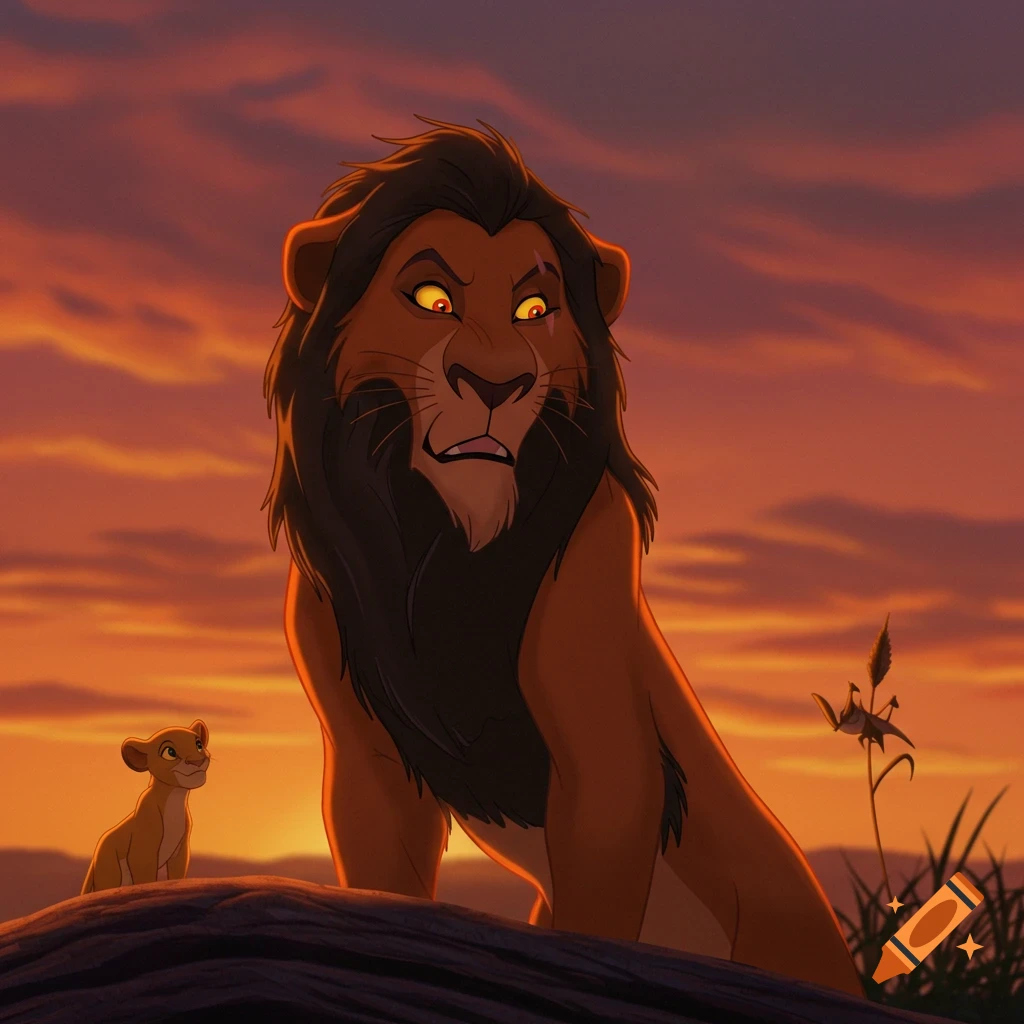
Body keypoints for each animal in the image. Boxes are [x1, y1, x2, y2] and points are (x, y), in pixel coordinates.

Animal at [81, 720, 210, 893]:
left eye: (198, 745)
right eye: (170, 752)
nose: (197, 761)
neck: (175, 798)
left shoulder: (180, 851)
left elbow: (176, 874)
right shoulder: (142, 850)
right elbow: (145, 877)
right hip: (109, 869)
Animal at [262, 117, 863, 996]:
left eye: (534, 308)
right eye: (431, 299)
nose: (495, 384)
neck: (443, 537)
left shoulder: (598, 641)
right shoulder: (363, 749)